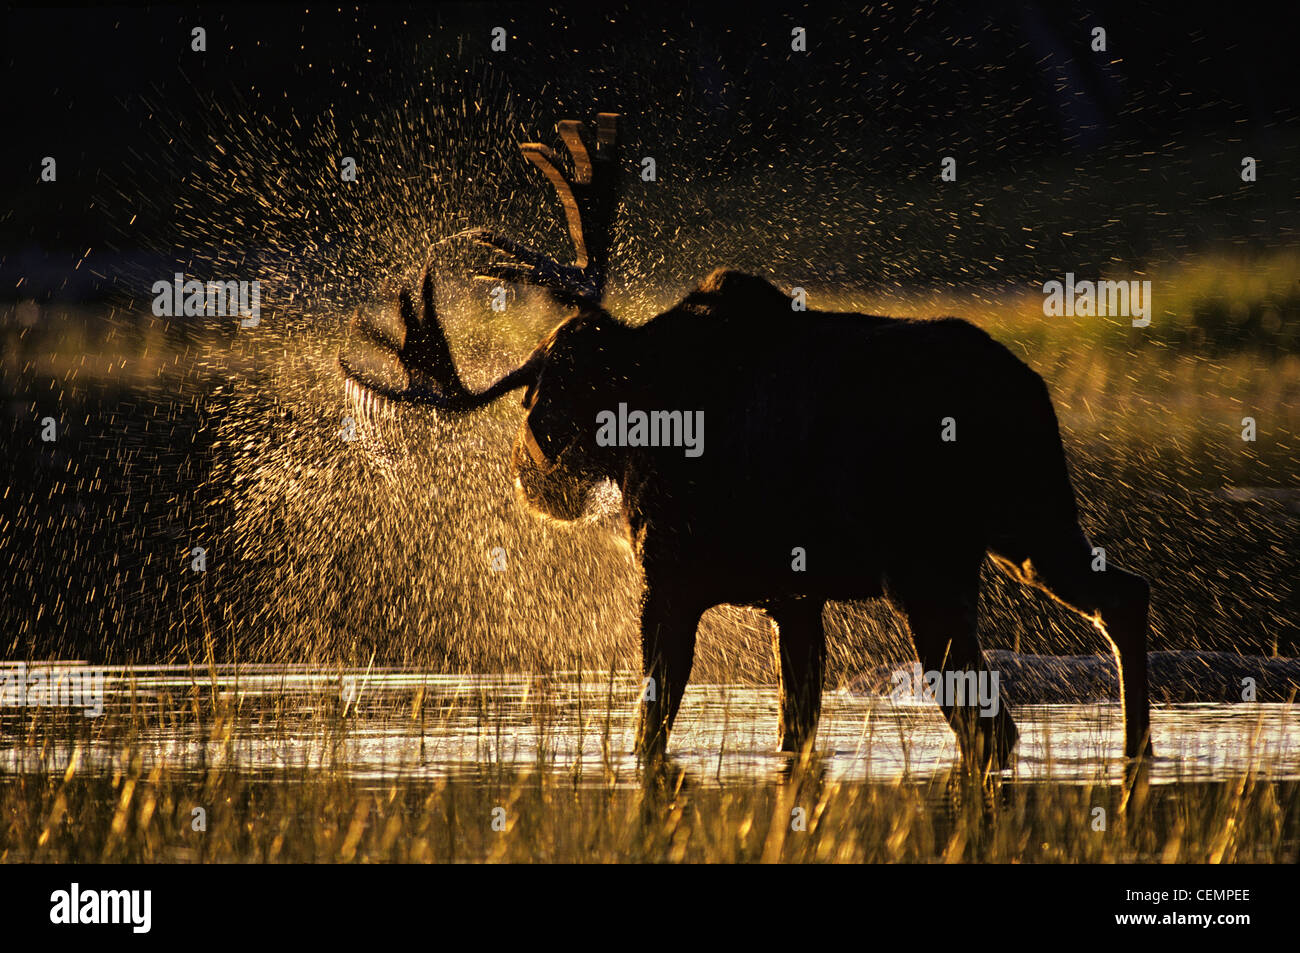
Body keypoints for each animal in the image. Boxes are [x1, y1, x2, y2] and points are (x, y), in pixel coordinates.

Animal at [339, 113, 1153, 774]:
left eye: (539, 391)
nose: (530, 480)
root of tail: (1029, 389)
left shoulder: (668, 577)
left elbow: (650, 728)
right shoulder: (793, 596)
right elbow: (796, 730)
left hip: (931, 565)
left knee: (990, 724)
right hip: (1030, 523)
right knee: (1121, 597)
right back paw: (1134, 748)